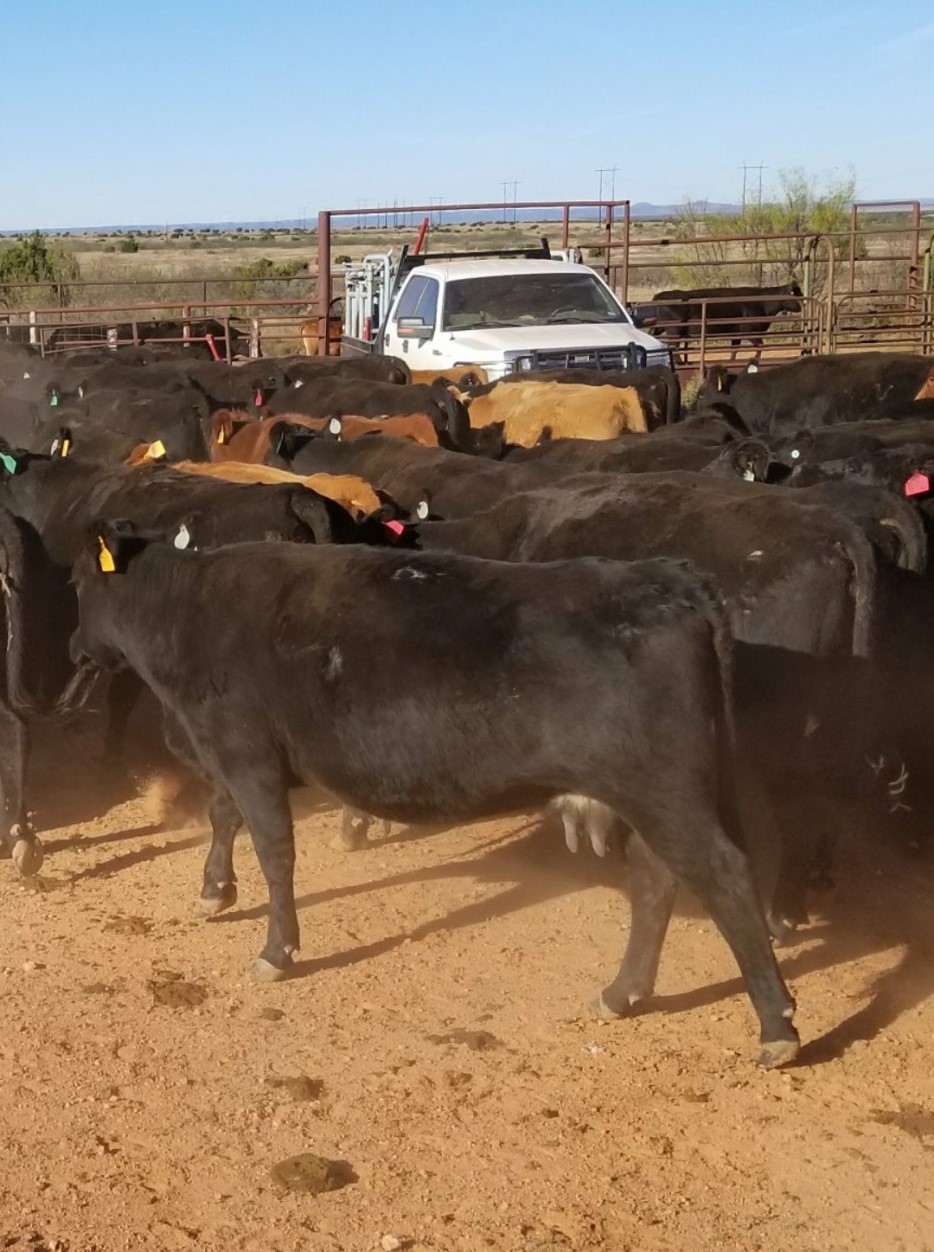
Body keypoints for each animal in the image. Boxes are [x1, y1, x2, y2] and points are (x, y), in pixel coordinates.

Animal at [66, 523, 800, 1068]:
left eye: (74, 583)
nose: (73, 650)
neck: (190, 611)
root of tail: (669, 576)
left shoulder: (245, 753)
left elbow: (275, 850)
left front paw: (277, 950)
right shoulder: (229, 757)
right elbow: (224, 818)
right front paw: (215, 891)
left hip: (665, 792)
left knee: (724, 876)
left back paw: (777, 1027)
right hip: (649, 799)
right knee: (655, 882)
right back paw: (622, 993)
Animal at [636, 283, 802, 360]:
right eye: (794, 294)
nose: (801, 307)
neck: (762, 303)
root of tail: (659, 296)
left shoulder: (737, 335)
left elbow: (734, 350)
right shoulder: (750, 331)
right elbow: (760, 347)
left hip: (660, 327)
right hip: (674, 331)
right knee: (674, 347)